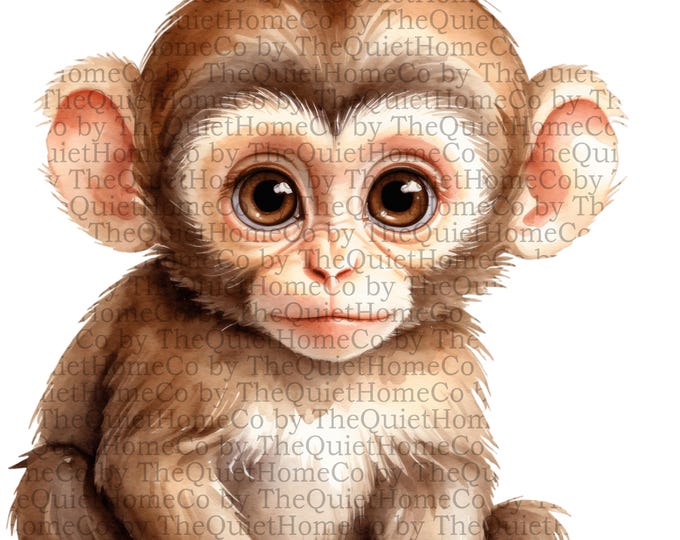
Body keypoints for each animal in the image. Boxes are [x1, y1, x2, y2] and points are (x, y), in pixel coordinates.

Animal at [10, 0, 622, 538]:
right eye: (268, 196)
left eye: (399, 197)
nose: (332, 266)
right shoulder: (167, 352)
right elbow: (150, 470)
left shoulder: (440, 372)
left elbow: (444, 479)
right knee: (53, 474)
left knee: (529, 518)